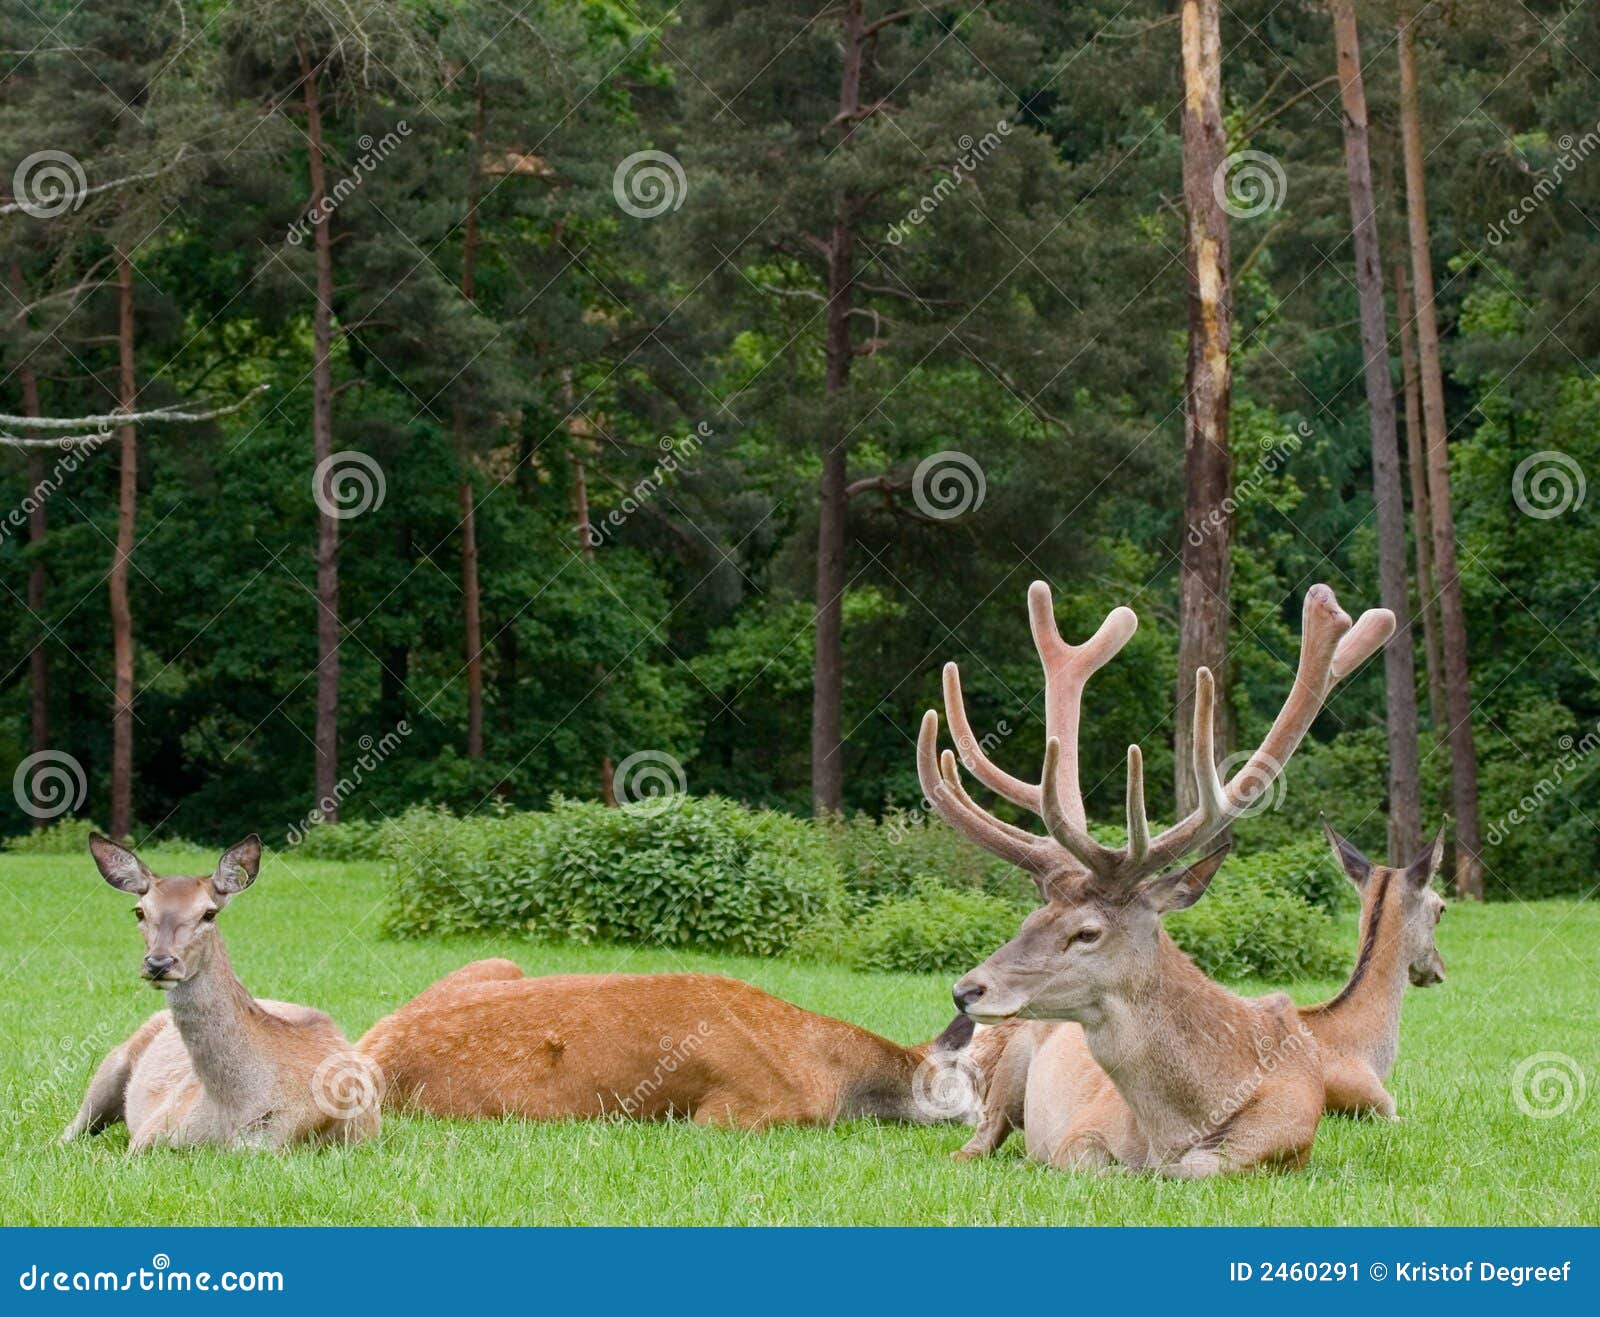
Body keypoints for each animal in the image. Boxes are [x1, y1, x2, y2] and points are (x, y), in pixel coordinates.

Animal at [61, 835, 380, 1151]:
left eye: (209, 913)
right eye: (139, 910)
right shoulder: (152, 1129)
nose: (159, 964)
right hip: (111, 1065)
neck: (232, 1112)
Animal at [919, 580, 1394, 1177]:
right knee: (978, 1138)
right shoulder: (1083, 1132)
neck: (1176, 1128)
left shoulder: (1287, 1142)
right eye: (1032, 918)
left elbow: (1197, 1167)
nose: (967, 989)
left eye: (1087, 932)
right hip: (1008, 1062)